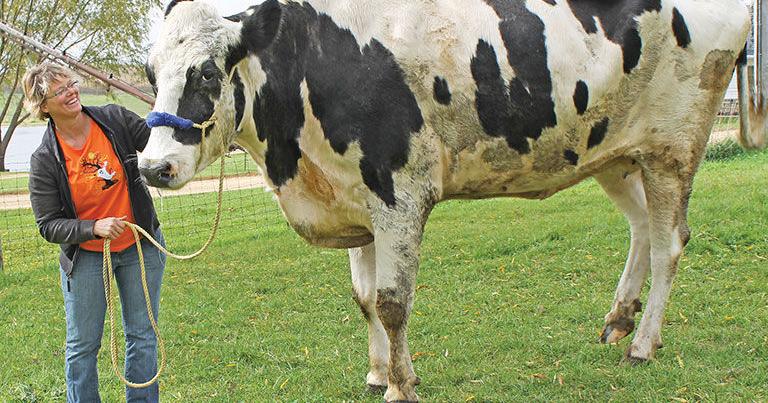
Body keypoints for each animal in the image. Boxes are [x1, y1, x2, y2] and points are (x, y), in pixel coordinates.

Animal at [139, 0, 750, 400]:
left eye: (207, 73)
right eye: (150, 72)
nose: (151, 167)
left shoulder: (399, 195)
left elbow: (391, 303)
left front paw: (401, 386)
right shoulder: (354, 198)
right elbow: (364, 299)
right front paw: (378, 374)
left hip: (672, 149)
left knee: (671, 244)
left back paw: (643, 344)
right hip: (617, 154)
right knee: (643, 230)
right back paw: (619, 319)